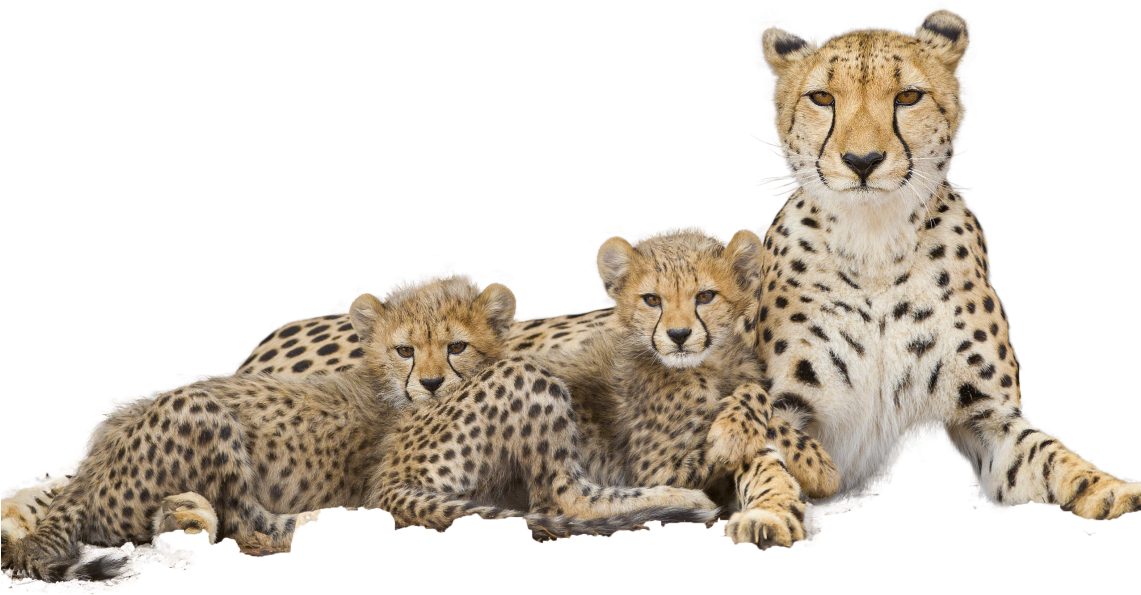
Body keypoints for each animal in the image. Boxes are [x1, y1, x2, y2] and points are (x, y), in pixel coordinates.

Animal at [751, 6, 1138, 520]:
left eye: (908, 97)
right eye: (821, 98)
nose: (862, 161)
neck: (875, 244)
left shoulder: (988, 416)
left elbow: (1049, 456)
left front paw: (1107, 488)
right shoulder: (780, 409)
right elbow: (762, 459)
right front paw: (767, 513)